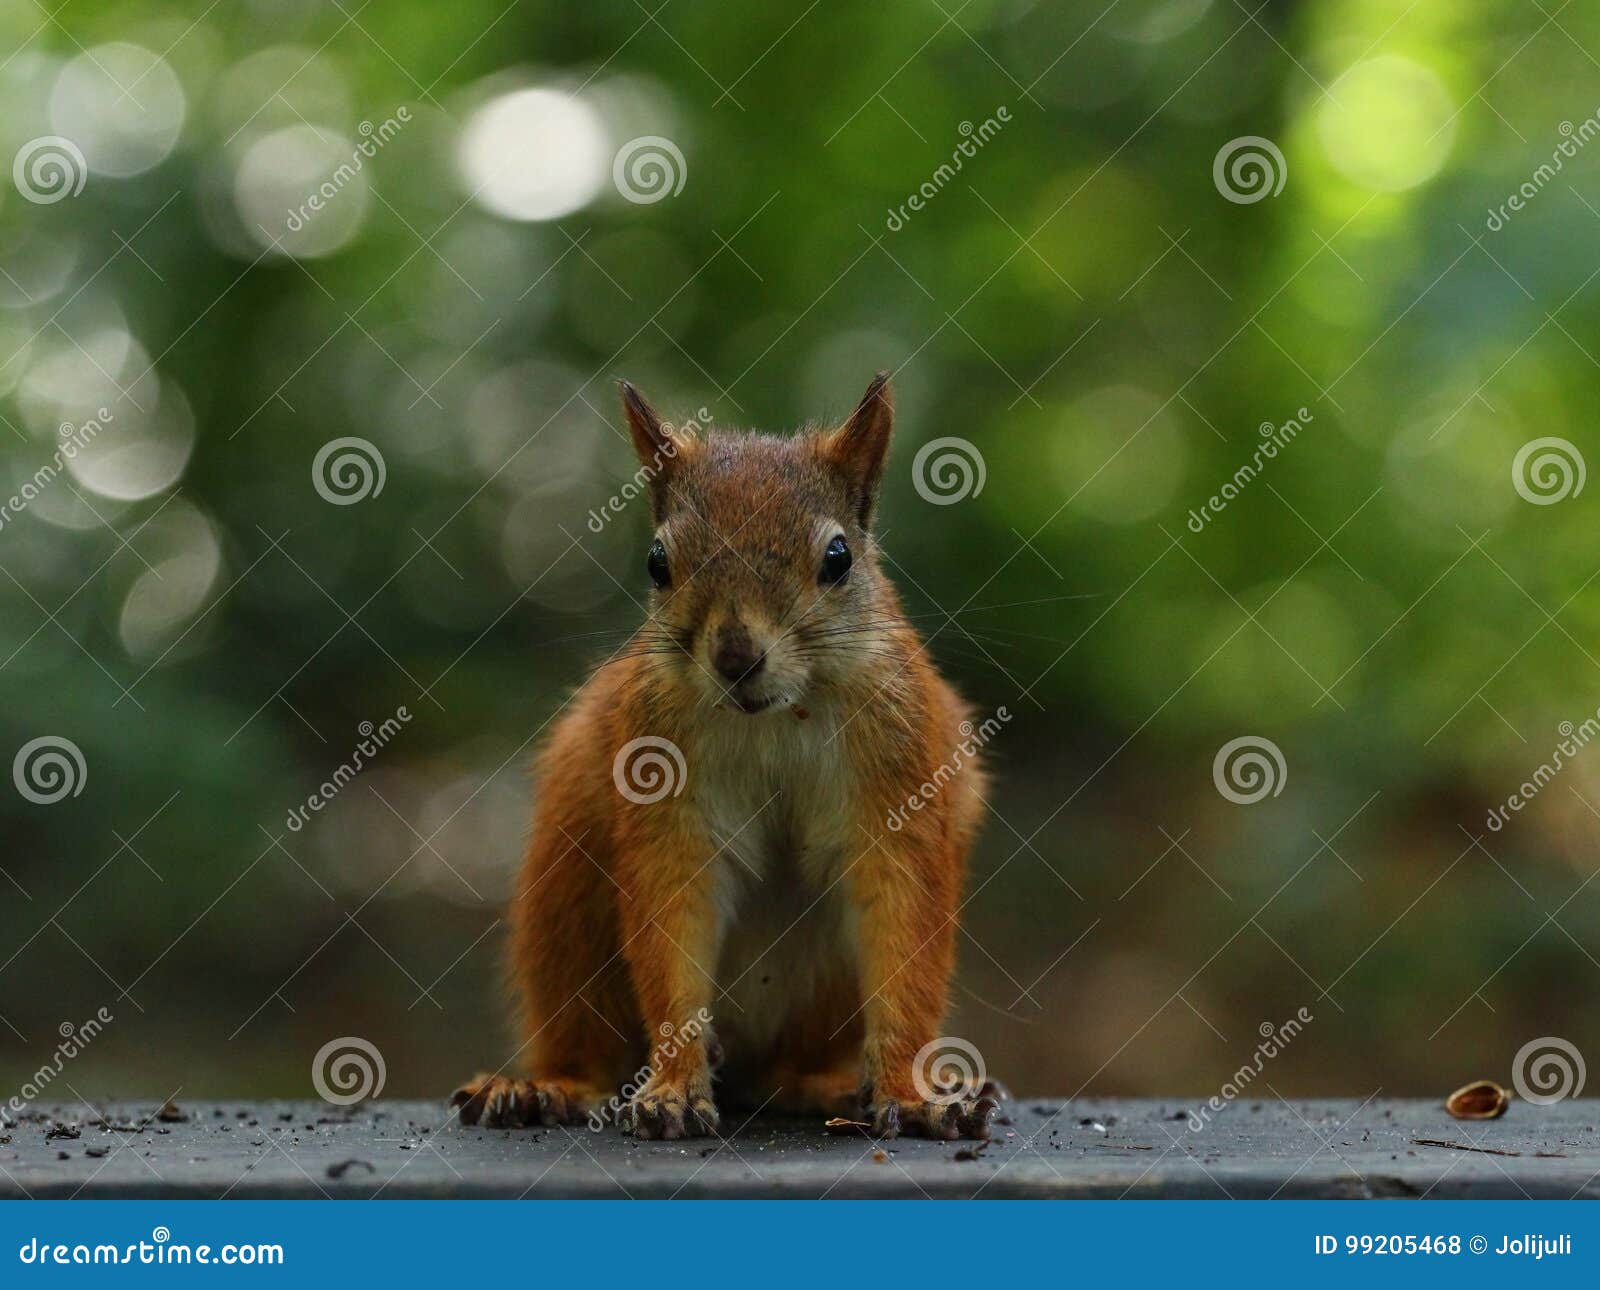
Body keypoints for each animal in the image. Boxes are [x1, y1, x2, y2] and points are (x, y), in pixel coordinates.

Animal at [452, 373, 1002, 1141]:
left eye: (838, 558)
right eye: (657, 562)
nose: (737, 657)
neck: (775, 716)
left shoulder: (904, 776)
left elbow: (904, 936)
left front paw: (912, 1092)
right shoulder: (665, 798)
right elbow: (672, 919)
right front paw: (674, 1088)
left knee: (778, 1072)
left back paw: (825, 1086)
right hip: (565, 910)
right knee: (585, 1047)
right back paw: (543, 1087)